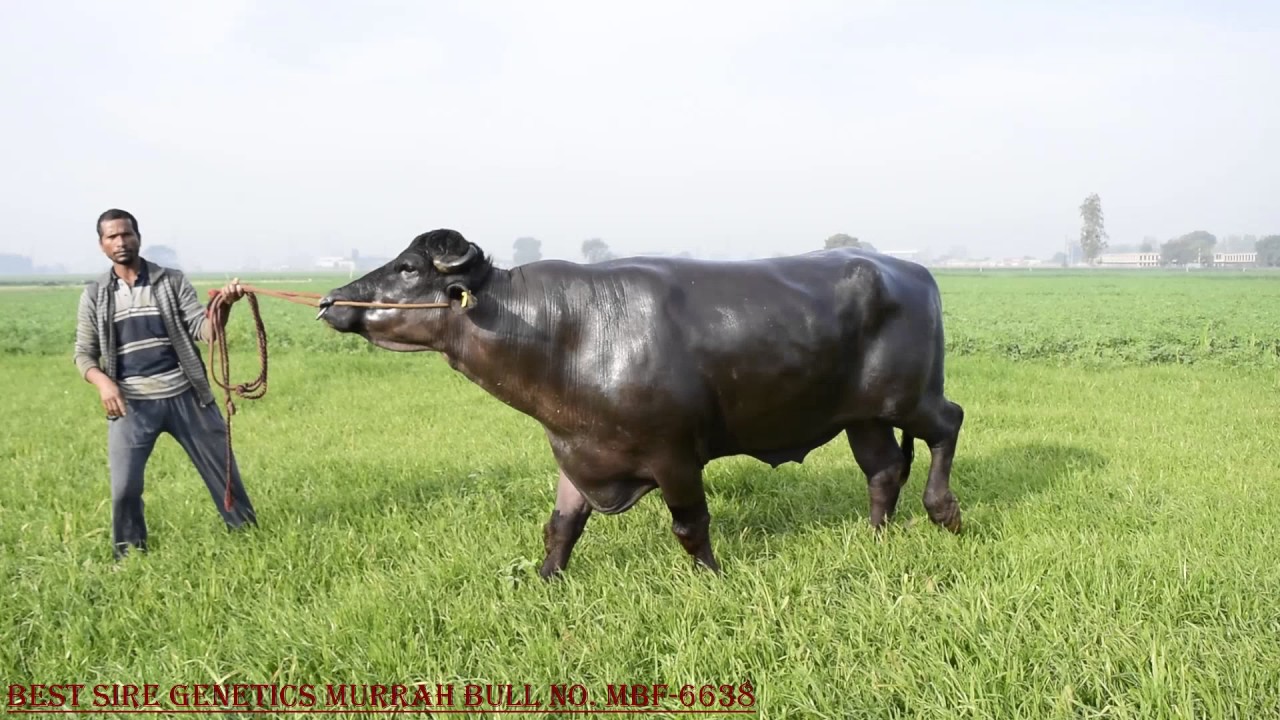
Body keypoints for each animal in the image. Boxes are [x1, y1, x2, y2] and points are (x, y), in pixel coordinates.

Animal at [317, 229, 964, 578]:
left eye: (407, 268)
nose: (329, 301)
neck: (565, 333)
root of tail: (910, 271)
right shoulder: (577, 452)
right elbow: (561, 526)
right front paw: (546, 581)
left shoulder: (675, 455)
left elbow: (690, 525)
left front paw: (711, 577)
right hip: (863, 416)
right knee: (883, 470)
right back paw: (876, 536)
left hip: (912, 398)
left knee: (947, 425)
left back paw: (944, 512)